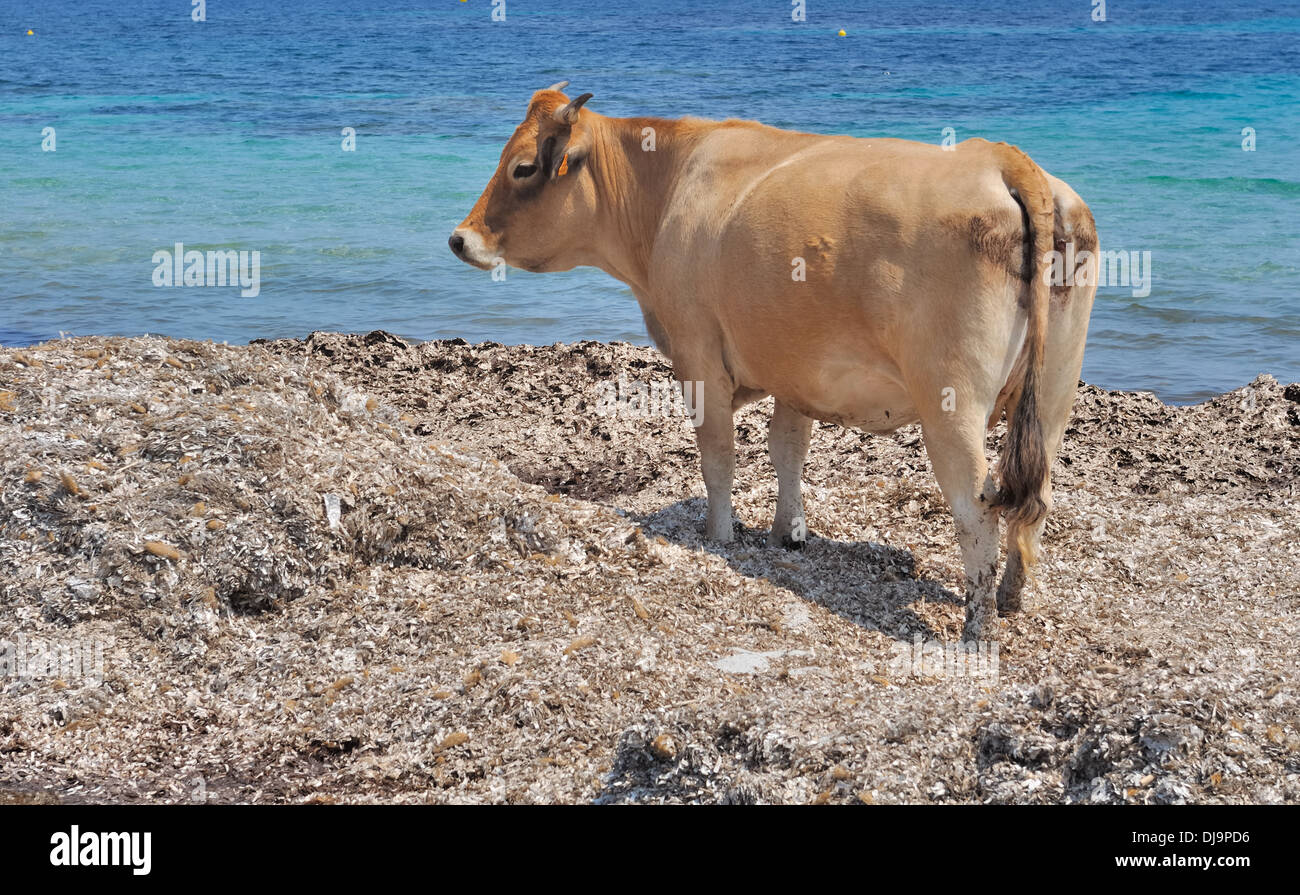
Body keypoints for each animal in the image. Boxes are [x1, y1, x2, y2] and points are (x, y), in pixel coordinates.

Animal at [450, 83, 1098, 641]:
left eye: (523, 167)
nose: (459, 238)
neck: (667, 188)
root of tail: (1003, 160)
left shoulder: (699, 358)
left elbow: (718, 456)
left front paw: (719, 536)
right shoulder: (796, 370)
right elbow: (788, 449)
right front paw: (790, 533)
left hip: (952, 405)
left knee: (976, 508)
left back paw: (978, 627)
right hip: (1055, 393)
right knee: (1037, 497)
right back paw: (1013, 596)